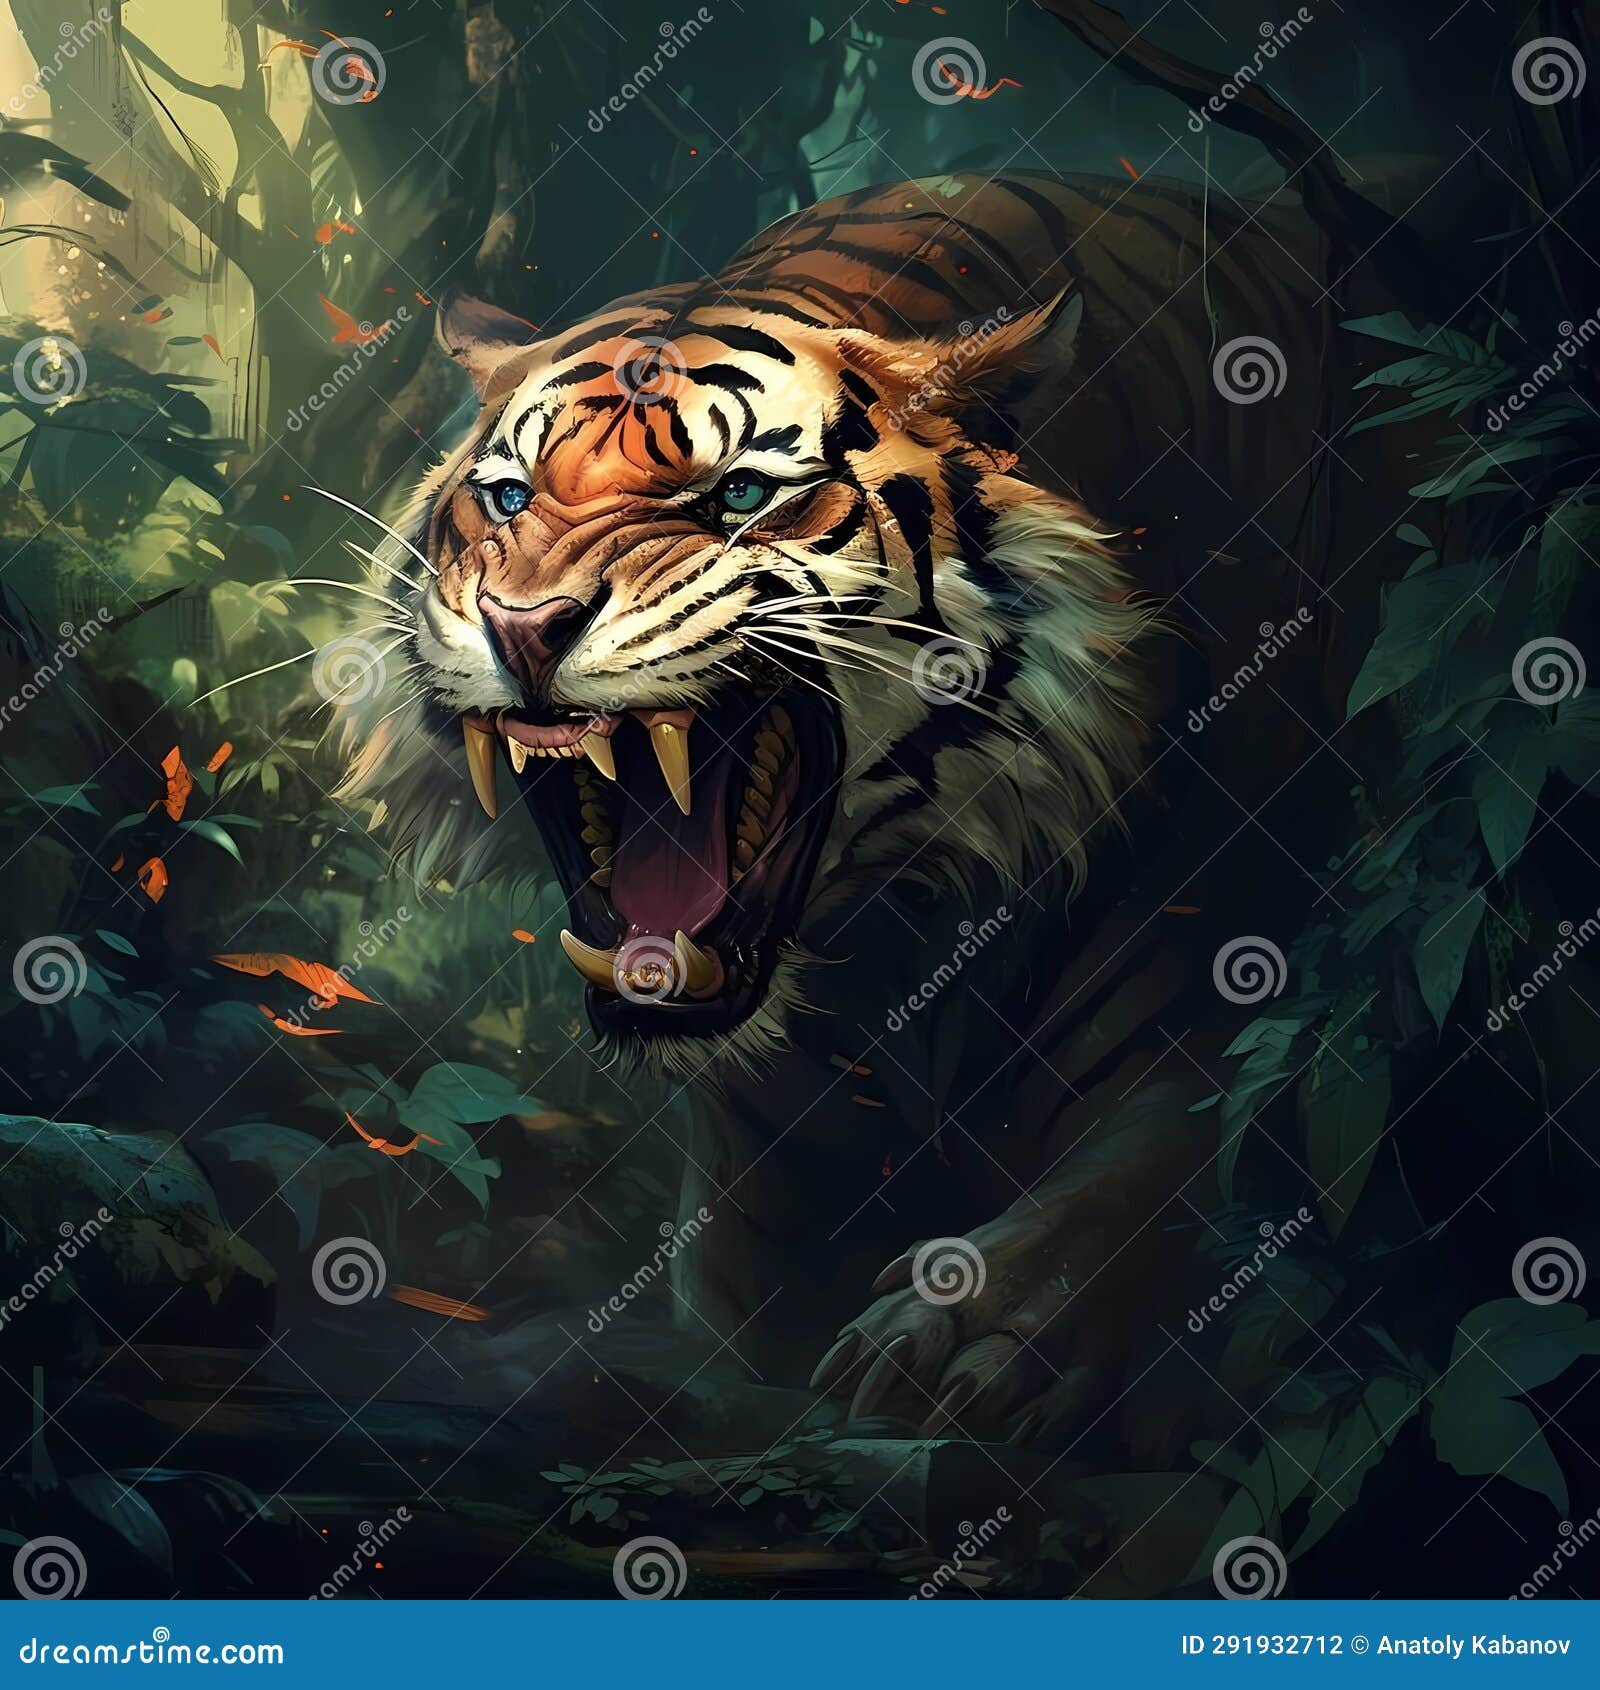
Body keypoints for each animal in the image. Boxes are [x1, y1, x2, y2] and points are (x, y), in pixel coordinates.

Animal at [338, 169, 1402, 1443]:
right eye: (505, 498)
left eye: (742, 495)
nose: (525, 624)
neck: (894, 929)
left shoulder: (1210, 1018)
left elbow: (1120, 1200)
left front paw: (953, 1342)